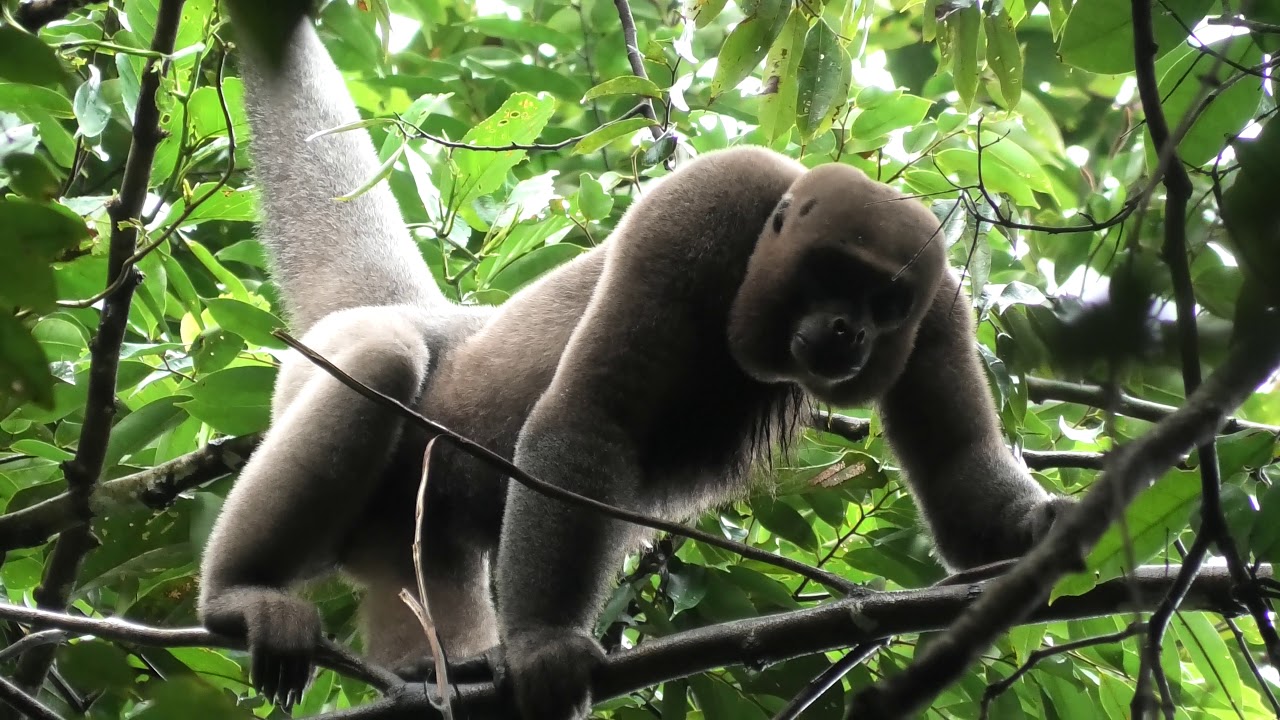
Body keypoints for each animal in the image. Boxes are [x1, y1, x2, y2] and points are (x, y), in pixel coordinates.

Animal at [197, 10, 1074, 718]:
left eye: (885, 300)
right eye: (831, 271)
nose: (846, 332)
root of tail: (430, 310)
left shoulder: (940, 306)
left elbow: (961, 473)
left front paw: (1044, 530)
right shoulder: (702, 204)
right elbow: (591, 413)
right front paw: (547, 643)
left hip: (411, 539)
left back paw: (444, 673)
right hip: (327, 359)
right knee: (382, 363)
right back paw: (239, 601)